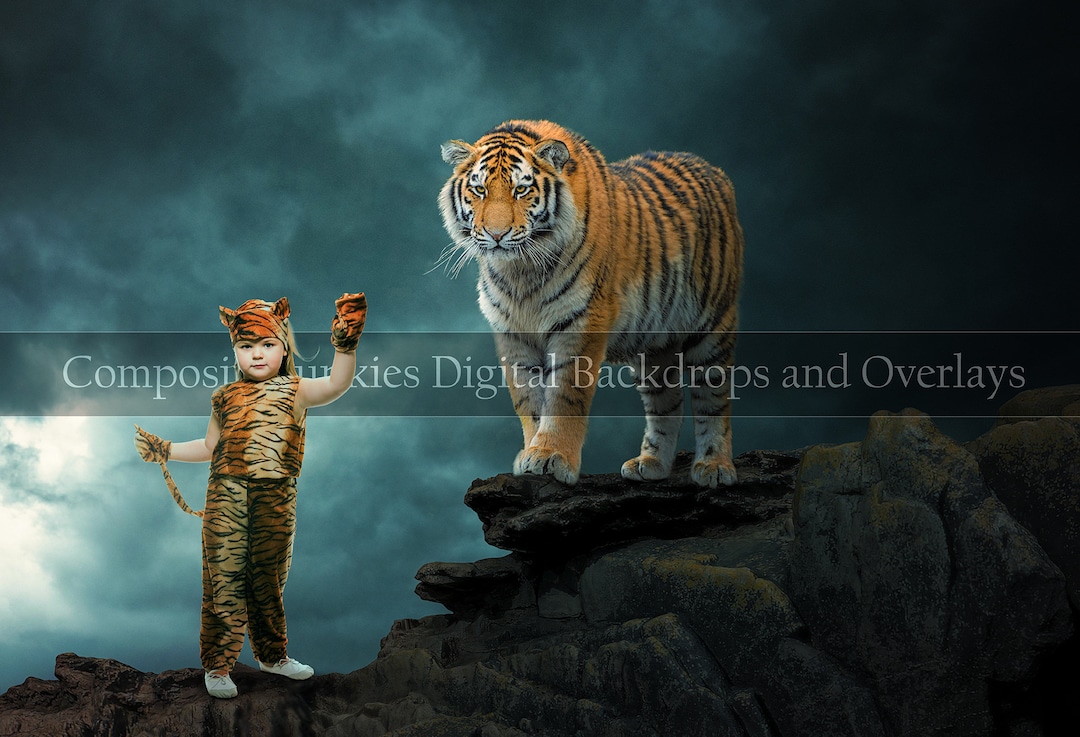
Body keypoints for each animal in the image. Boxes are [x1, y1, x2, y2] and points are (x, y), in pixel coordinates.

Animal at [438, 120, 744, 487]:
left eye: (521, 190)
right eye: (480, 190)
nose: (496, 235)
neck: (520, 272)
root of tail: (713, 169)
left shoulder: (581, 321)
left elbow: (565, 396)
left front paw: (551, 456)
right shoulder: (512, 335)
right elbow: (529, 400)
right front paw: (531, 452)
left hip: (713, 327)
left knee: (713, 399)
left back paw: (714, 467)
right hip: (654, 346)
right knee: (667, 404)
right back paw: (651, 465)